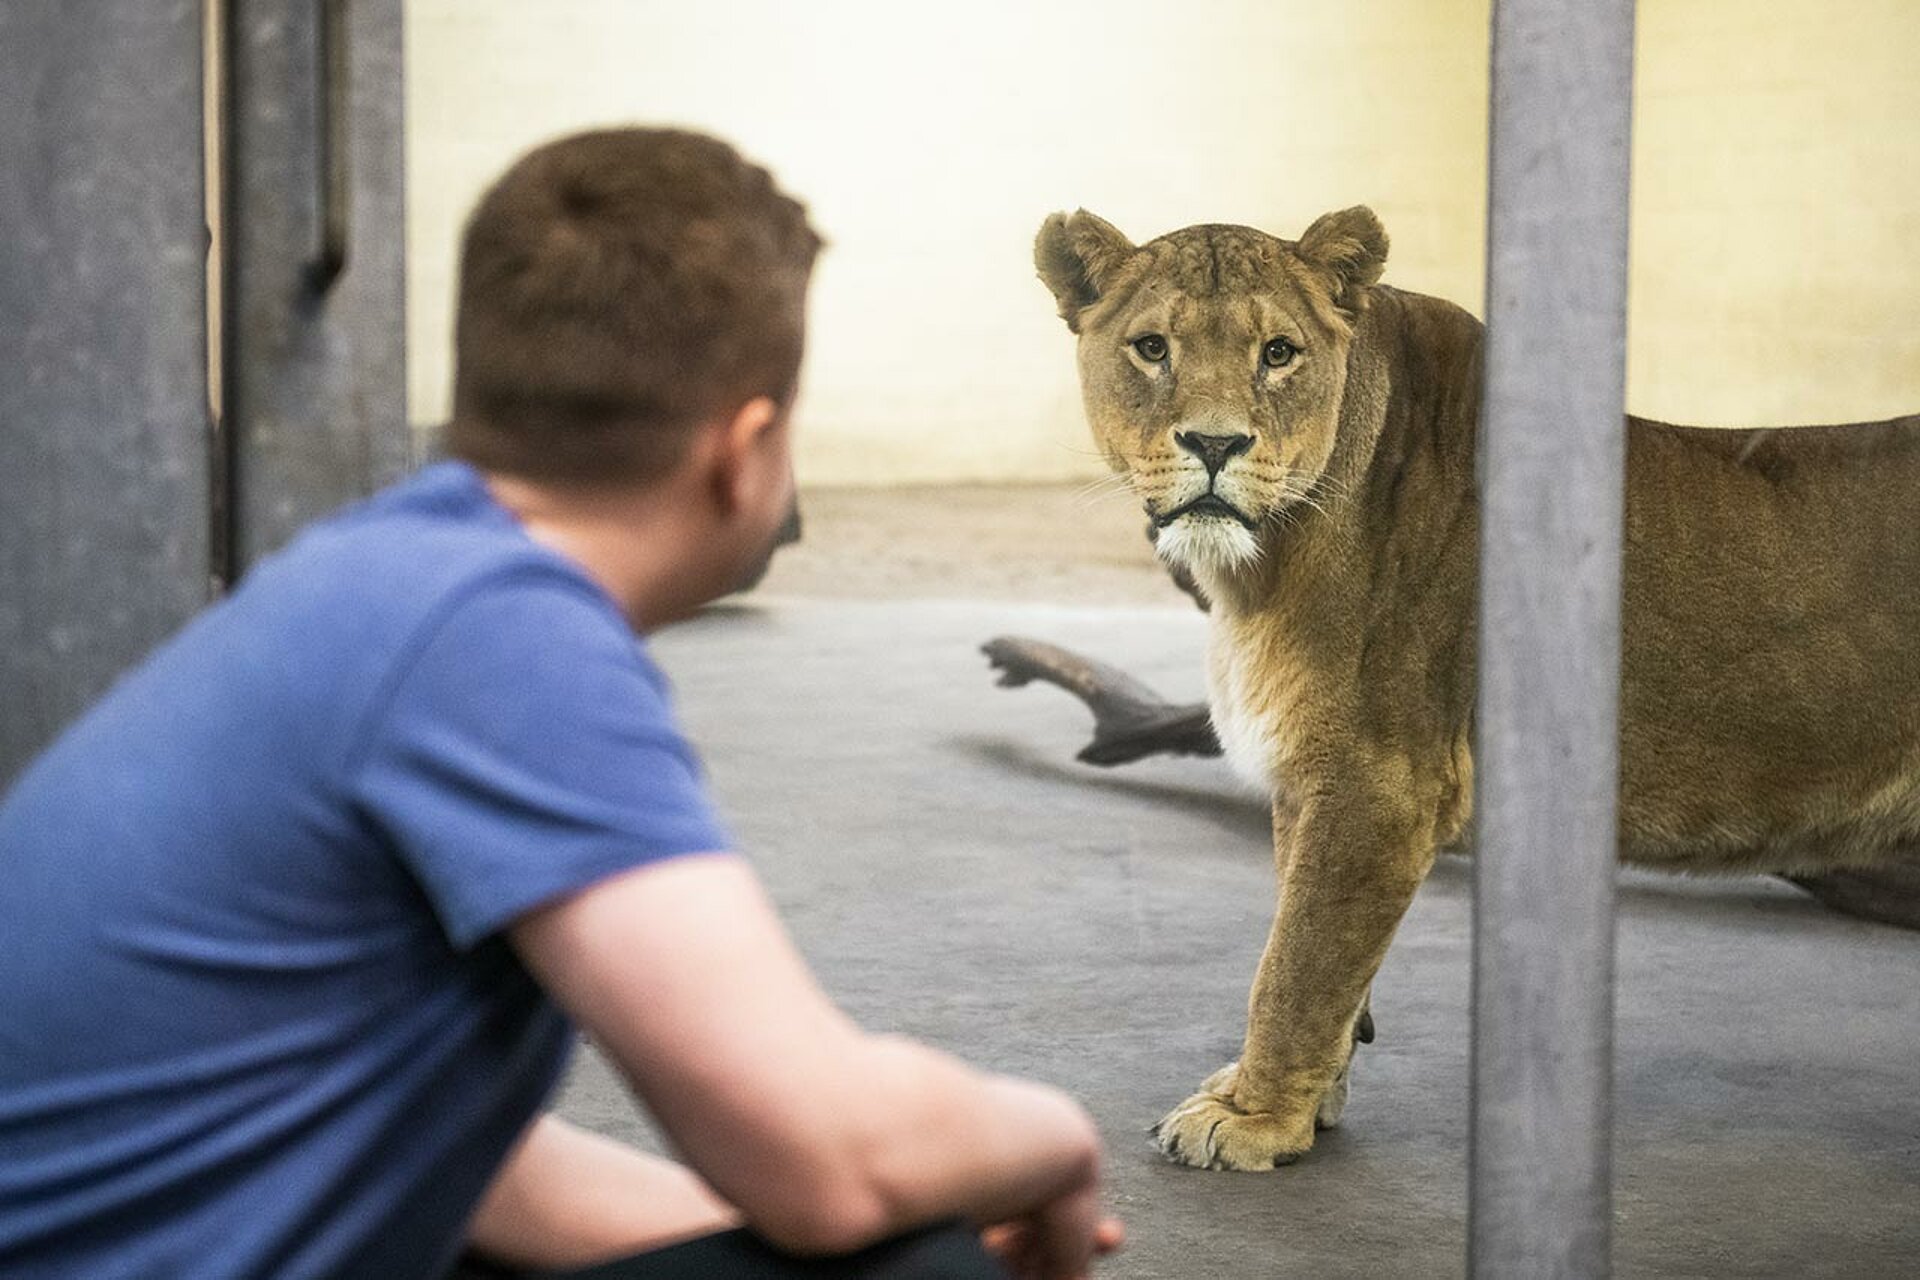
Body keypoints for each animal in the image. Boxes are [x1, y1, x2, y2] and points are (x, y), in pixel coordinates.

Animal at [1006, 205, 1920, 1171]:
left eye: (1279, 353)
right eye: (1152, 348)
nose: (1214, 445)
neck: (1265, 564)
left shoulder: (1379, 783)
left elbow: (1297, 962)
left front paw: (1252, 1119)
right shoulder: (1308, 774)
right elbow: (1320, 948)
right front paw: (1299, 1103)